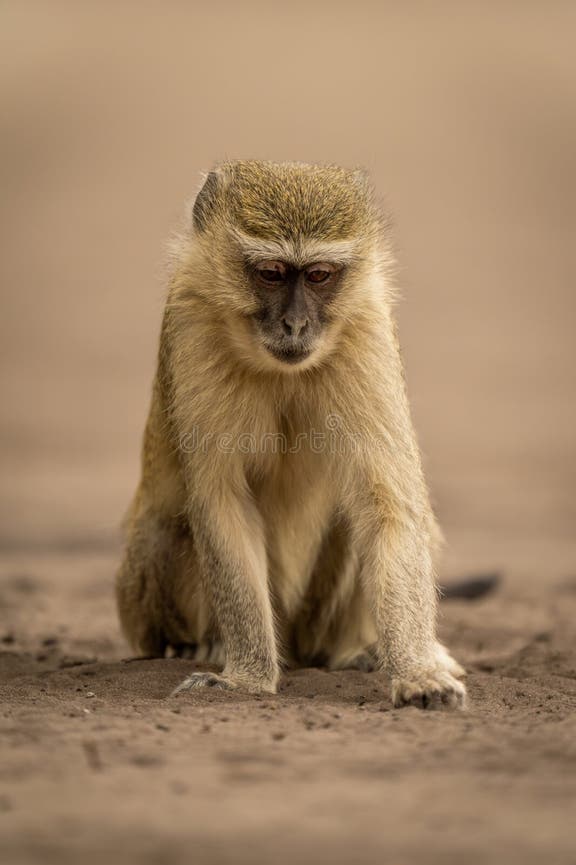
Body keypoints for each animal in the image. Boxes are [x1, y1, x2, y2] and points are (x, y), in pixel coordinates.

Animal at [116, 160, 467, 710]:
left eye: (319, 275)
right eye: (271, 273)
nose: (296, 325)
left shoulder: (366, 324)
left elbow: (386, 506)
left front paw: (417, 671)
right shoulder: (190, 319)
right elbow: (222, 502)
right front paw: (248, 676)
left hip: (312, 622)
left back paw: (355, 653)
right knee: (163, 528)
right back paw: (195, 644)